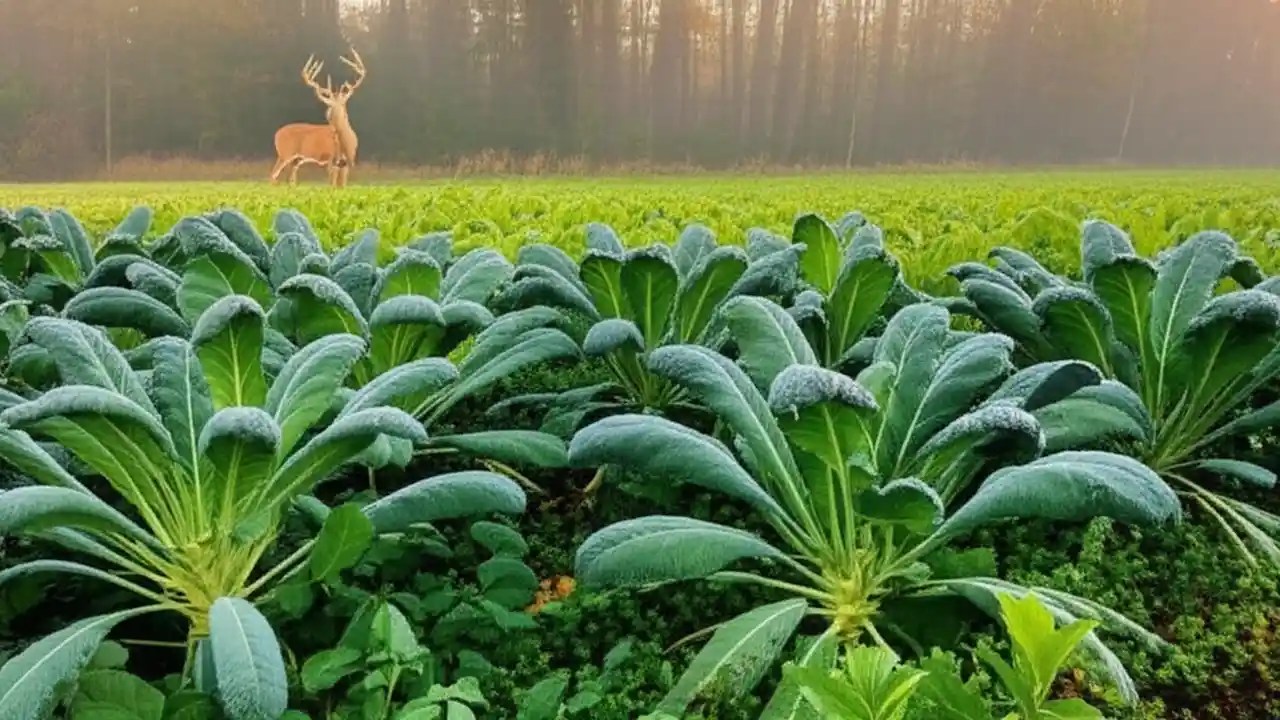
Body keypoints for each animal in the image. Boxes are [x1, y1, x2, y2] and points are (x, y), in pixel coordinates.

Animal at [270, 47, 366, 188]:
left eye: (342, 104)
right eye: (328, 104)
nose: (330, 116)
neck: (345, 144)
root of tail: (277, 133)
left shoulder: (346, 164)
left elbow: (342, 186)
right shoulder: (331, 160)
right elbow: (332, 184)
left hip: (296, 160)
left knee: (290, 179)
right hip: (285, 153)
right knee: (273, 175)